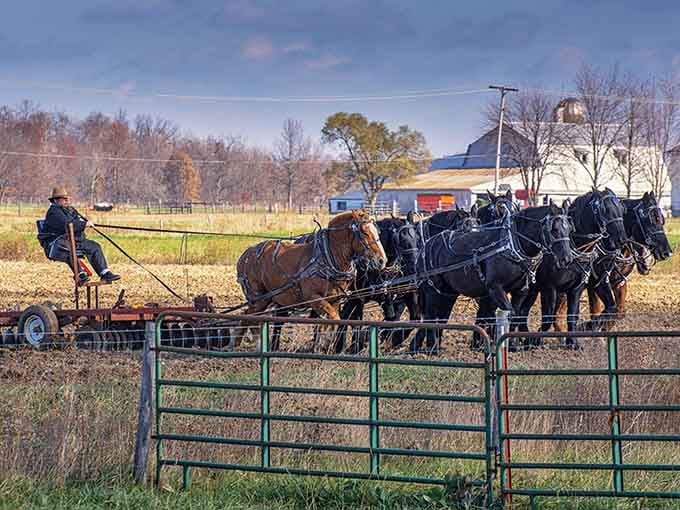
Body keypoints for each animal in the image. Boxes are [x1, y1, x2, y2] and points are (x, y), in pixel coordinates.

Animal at [233, 210, 387, 348]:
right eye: (364, 232)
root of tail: (245, 255)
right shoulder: (313, 298)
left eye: (377, 232)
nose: (382, 260)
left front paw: (322, 347)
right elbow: (334, 319)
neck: (326, 257)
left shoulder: (334, 300)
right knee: (248, 318)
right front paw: (323, 345)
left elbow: (328, 325)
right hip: (259, 299)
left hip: (266, 299)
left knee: (249, 318)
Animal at [413, 202, 574, 353]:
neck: (511, 244)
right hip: (432, 290)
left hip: (448, 293)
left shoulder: (521, 291)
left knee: (442, 317)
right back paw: (431, 348)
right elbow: (508, 314)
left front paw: (512, 345)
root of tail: (426, 246)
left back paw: (434, 346)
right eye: (554, 229)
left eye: (569, 229)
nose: (567, 259)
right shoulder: (495, 288)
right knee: (430, 316)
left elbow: (515, 316)